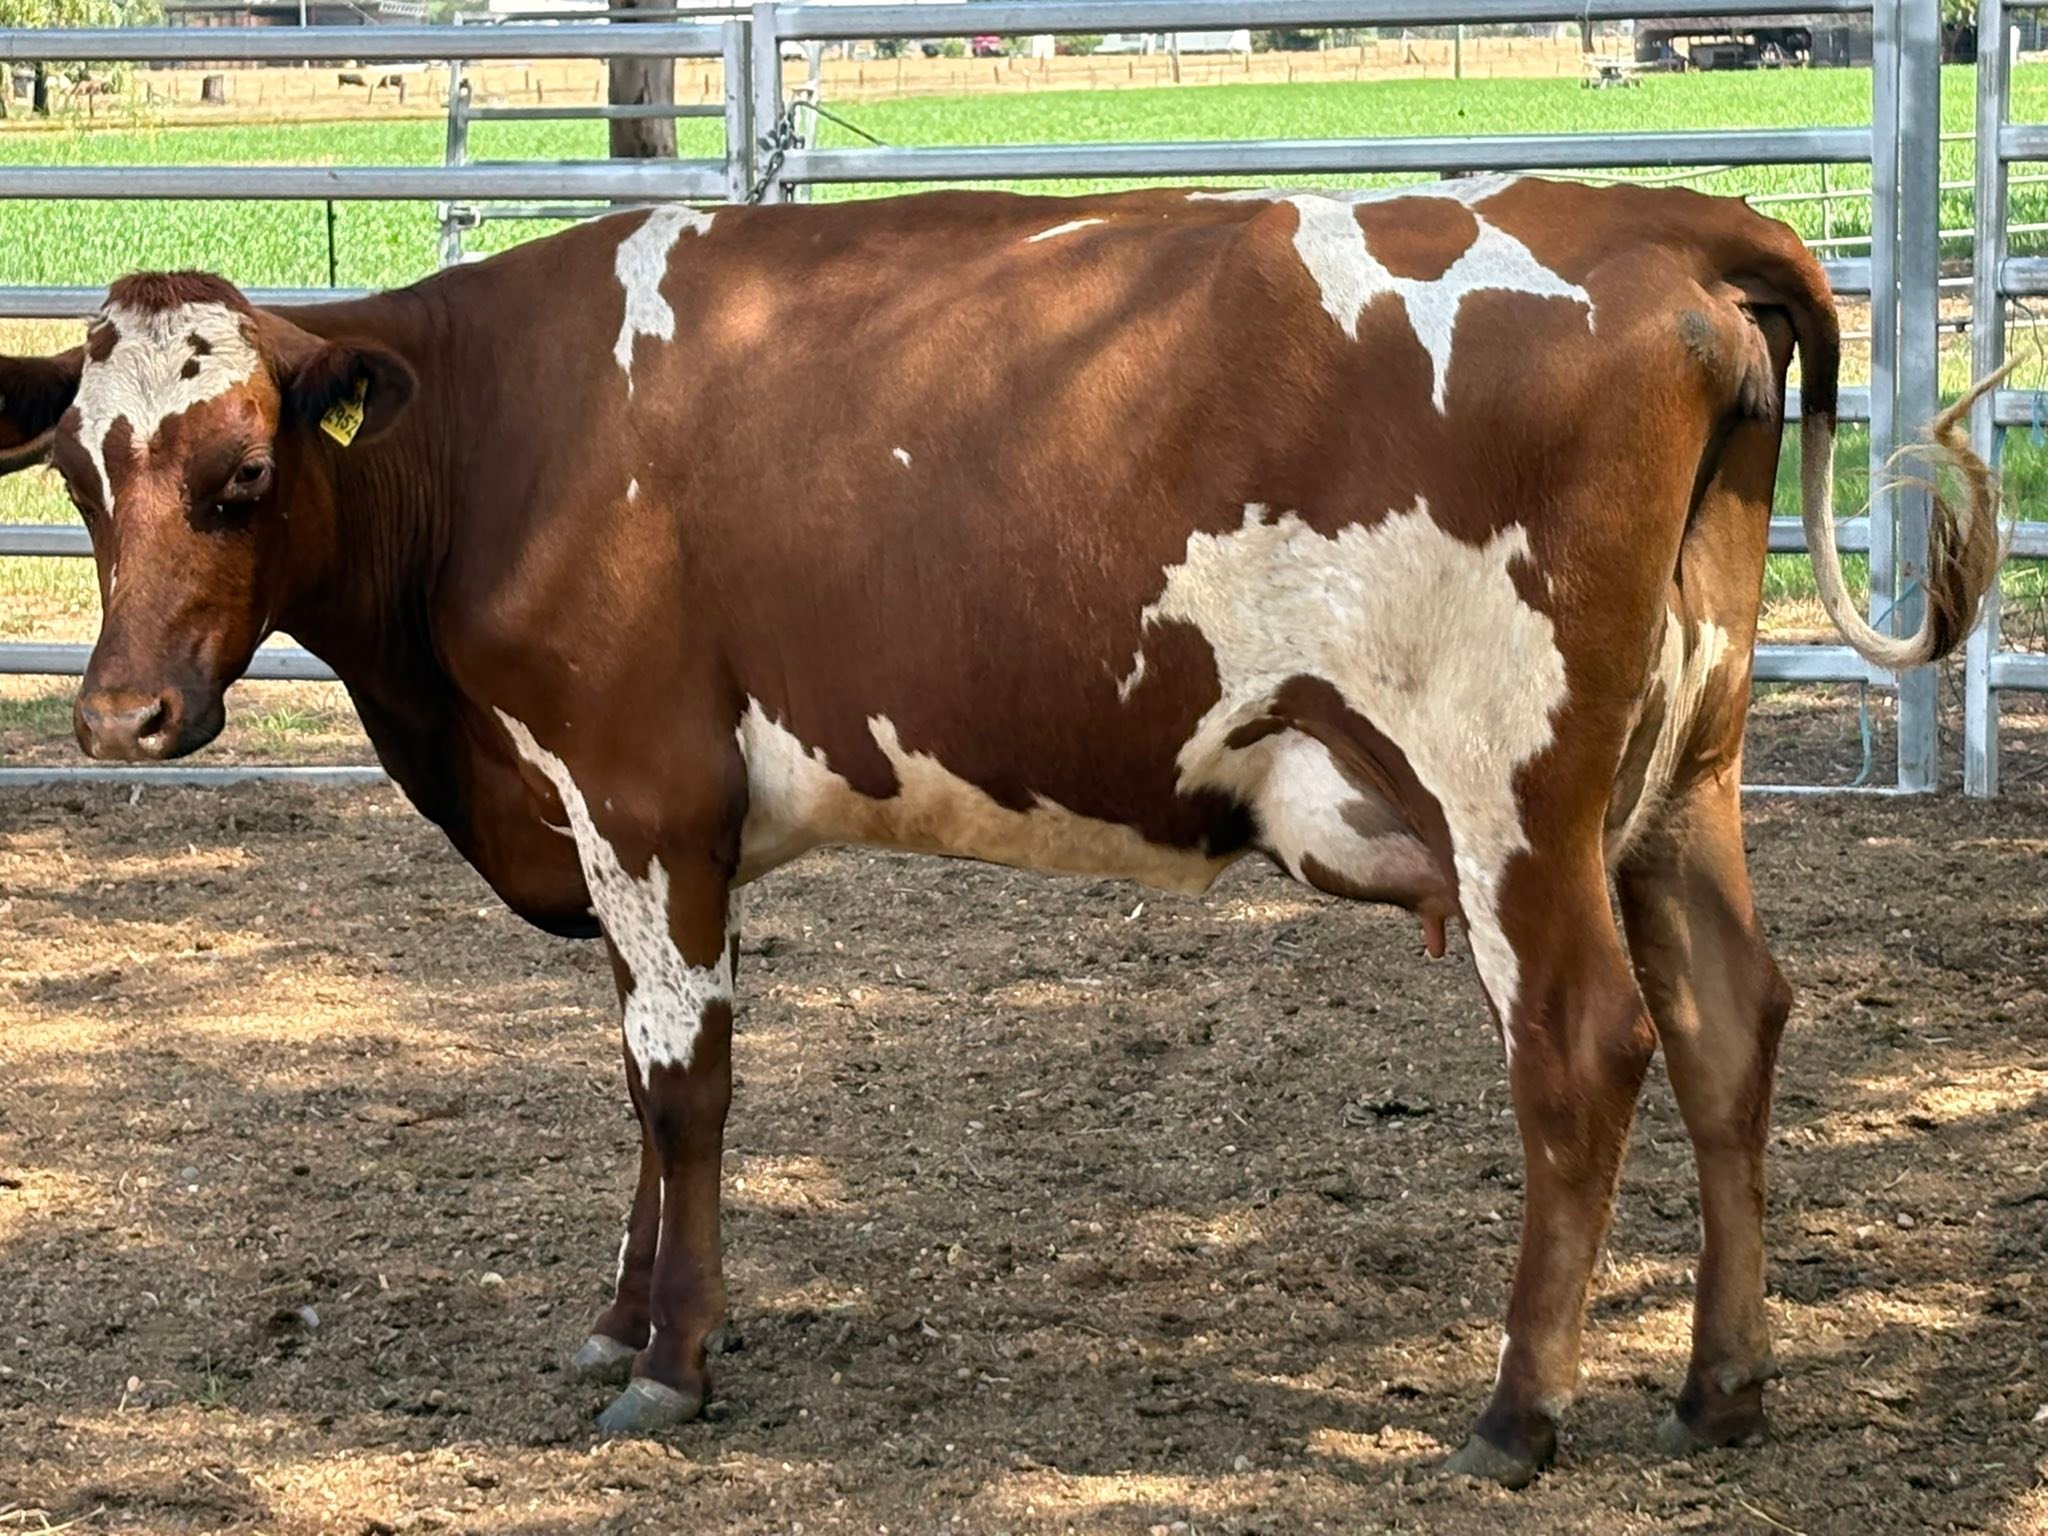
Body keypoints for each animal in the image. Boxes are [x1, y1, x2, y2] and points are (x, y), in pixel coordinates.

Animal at [0, 175, 2000, 1485]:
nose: (121, 718)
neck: (505, 433)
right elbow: (636, 1077)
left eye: (241, 473)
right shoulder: (623, 825)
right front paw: (622, 1317)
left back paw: (1518, 1414)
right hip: (1679, 784)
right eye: (82, 477)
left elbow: (685, 1087)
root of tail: (1655, 223)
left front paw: (672, 1364)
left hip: (1512, 790)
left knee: (1584, 1048)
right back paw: (1723, 1387)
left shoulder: (642, 792)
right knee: (1729, 1024)